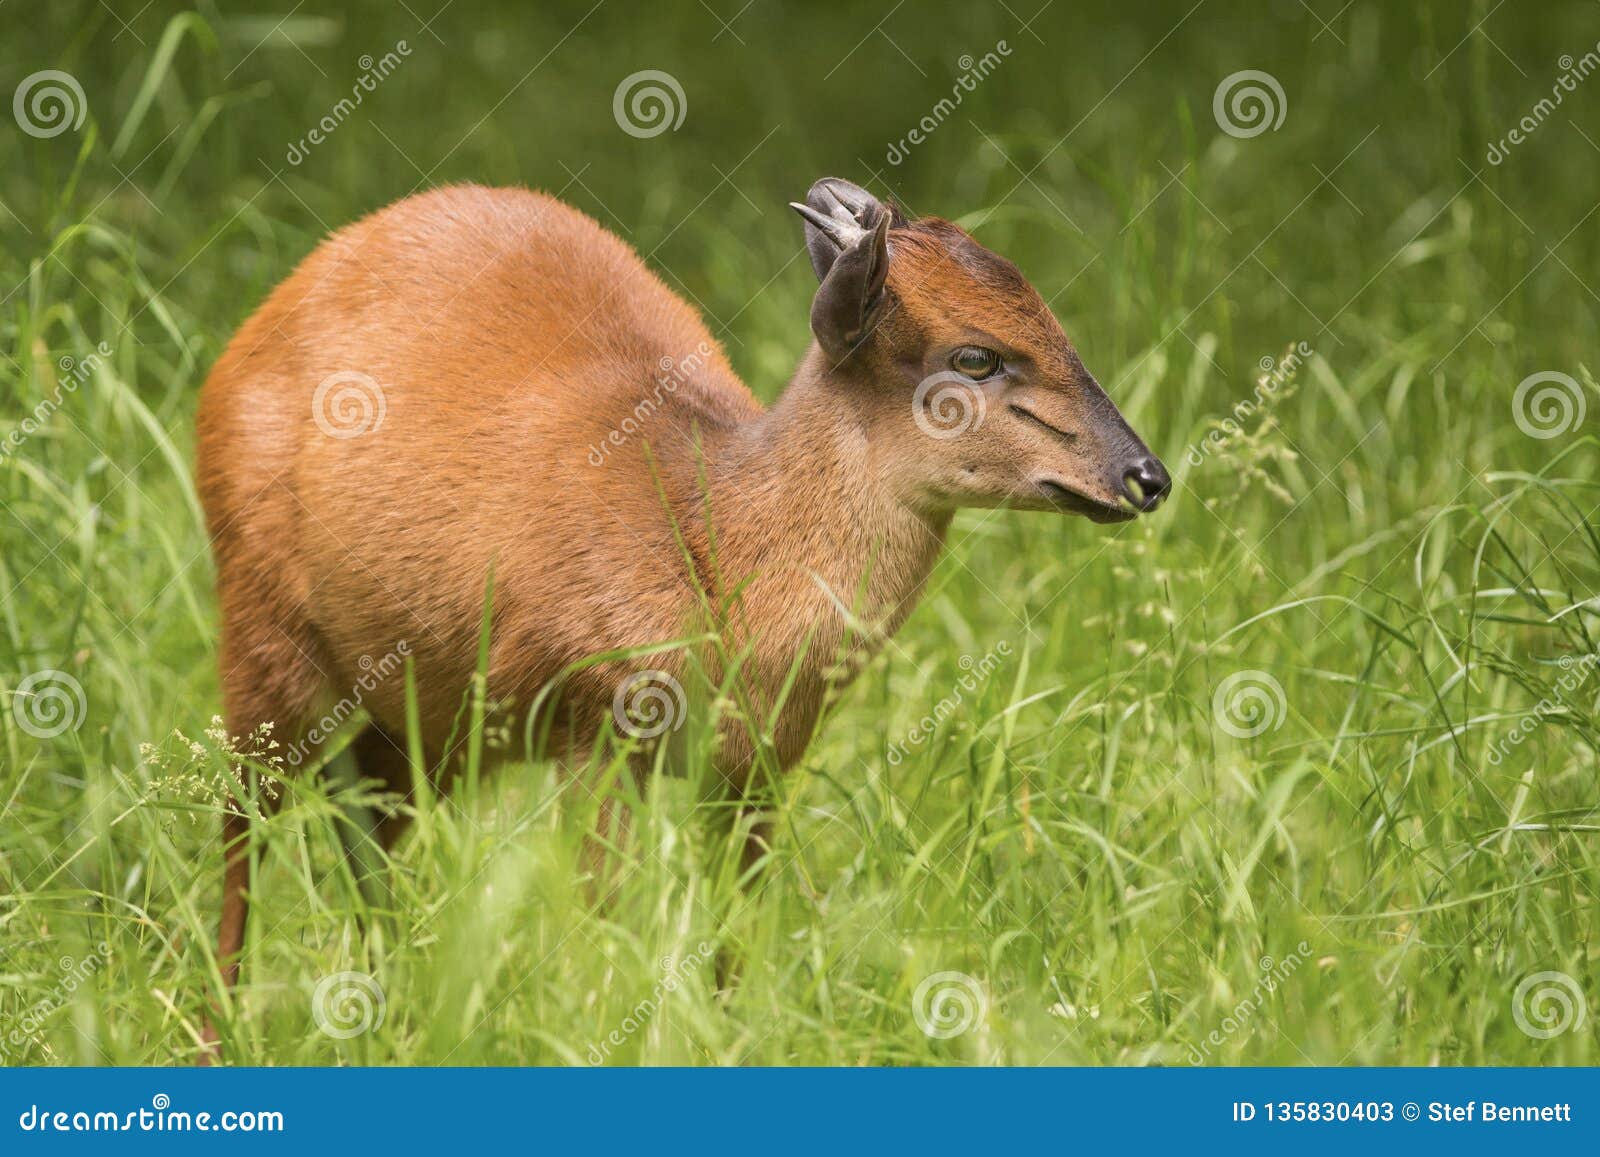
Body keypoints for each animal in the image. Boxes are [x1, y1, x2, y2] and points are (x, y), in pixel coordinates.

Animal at [195, 177, 1168, 1011]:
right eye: (976, 354)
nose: (1146, 476)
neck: (715, 547)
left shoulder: (760, 761)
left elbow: (736, 931)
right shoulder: (597, 716)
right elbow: (604, 923)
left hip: (430, 701)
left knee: (365, 811)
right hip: (261, 617)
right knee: (244, 815)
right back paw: (224, 1023)